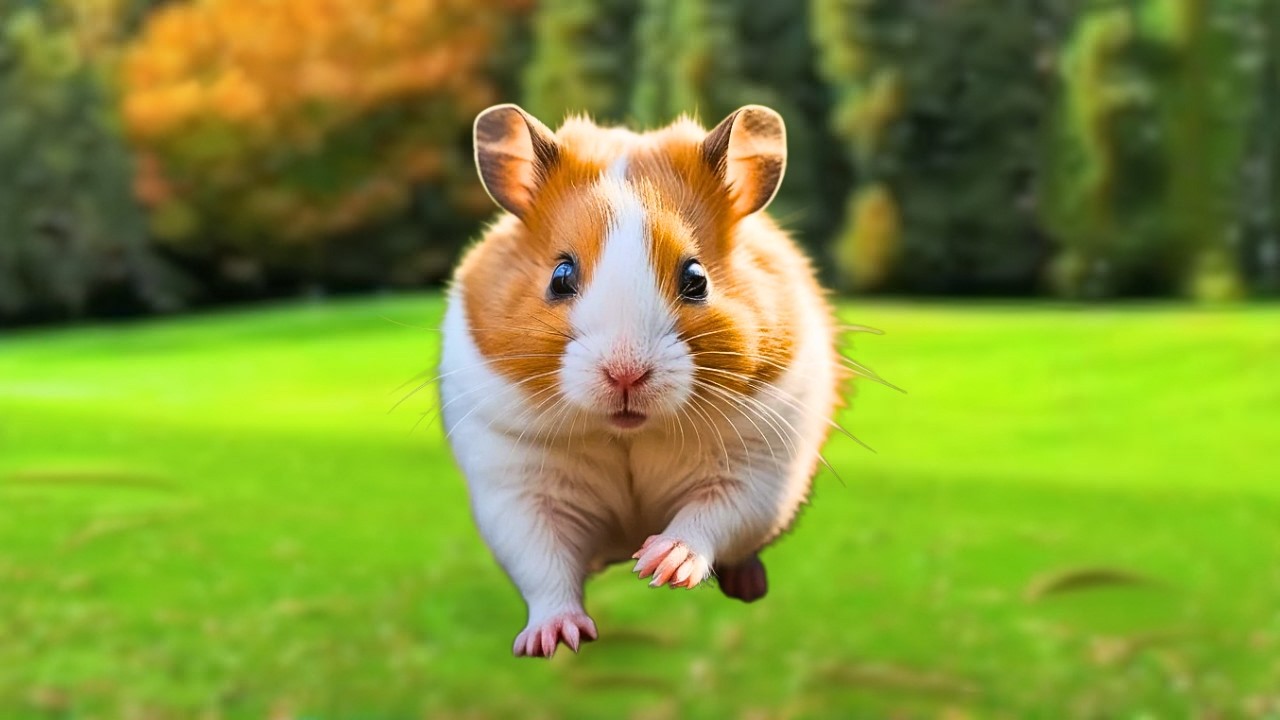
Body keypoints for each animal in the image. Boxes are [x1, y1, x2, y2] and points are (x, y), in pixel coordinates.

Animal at [438, 103, 843, 658]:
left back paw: (748, 585)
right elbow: (542, 560)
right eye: (560, 276)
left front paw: (660, 565)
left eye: (696, 278)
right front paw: (553, 642)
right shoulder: (517, 486)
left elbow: (712, 515)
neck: (628, 432)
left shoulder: (758, 468)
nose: (625, 373)